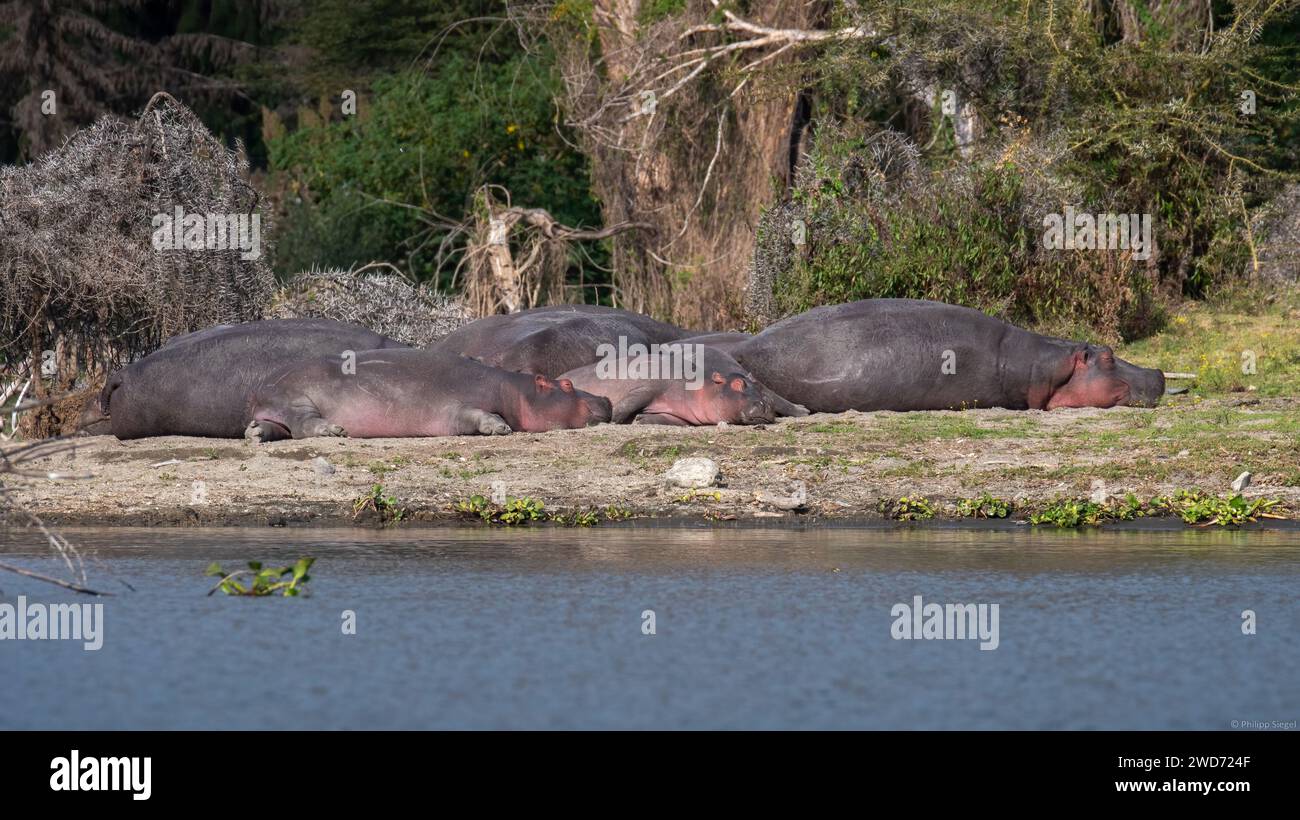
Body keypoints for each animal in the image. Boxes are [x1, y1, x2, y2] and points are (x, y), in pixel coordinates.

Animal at [560, 345, 775, 425]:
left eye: (758, 384)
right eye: (738, 384)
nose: (766, 404)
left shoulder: (681, 415)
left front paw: (641, 418)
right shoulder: (649, 386)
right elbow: (626, 404)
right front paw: (615, 420)